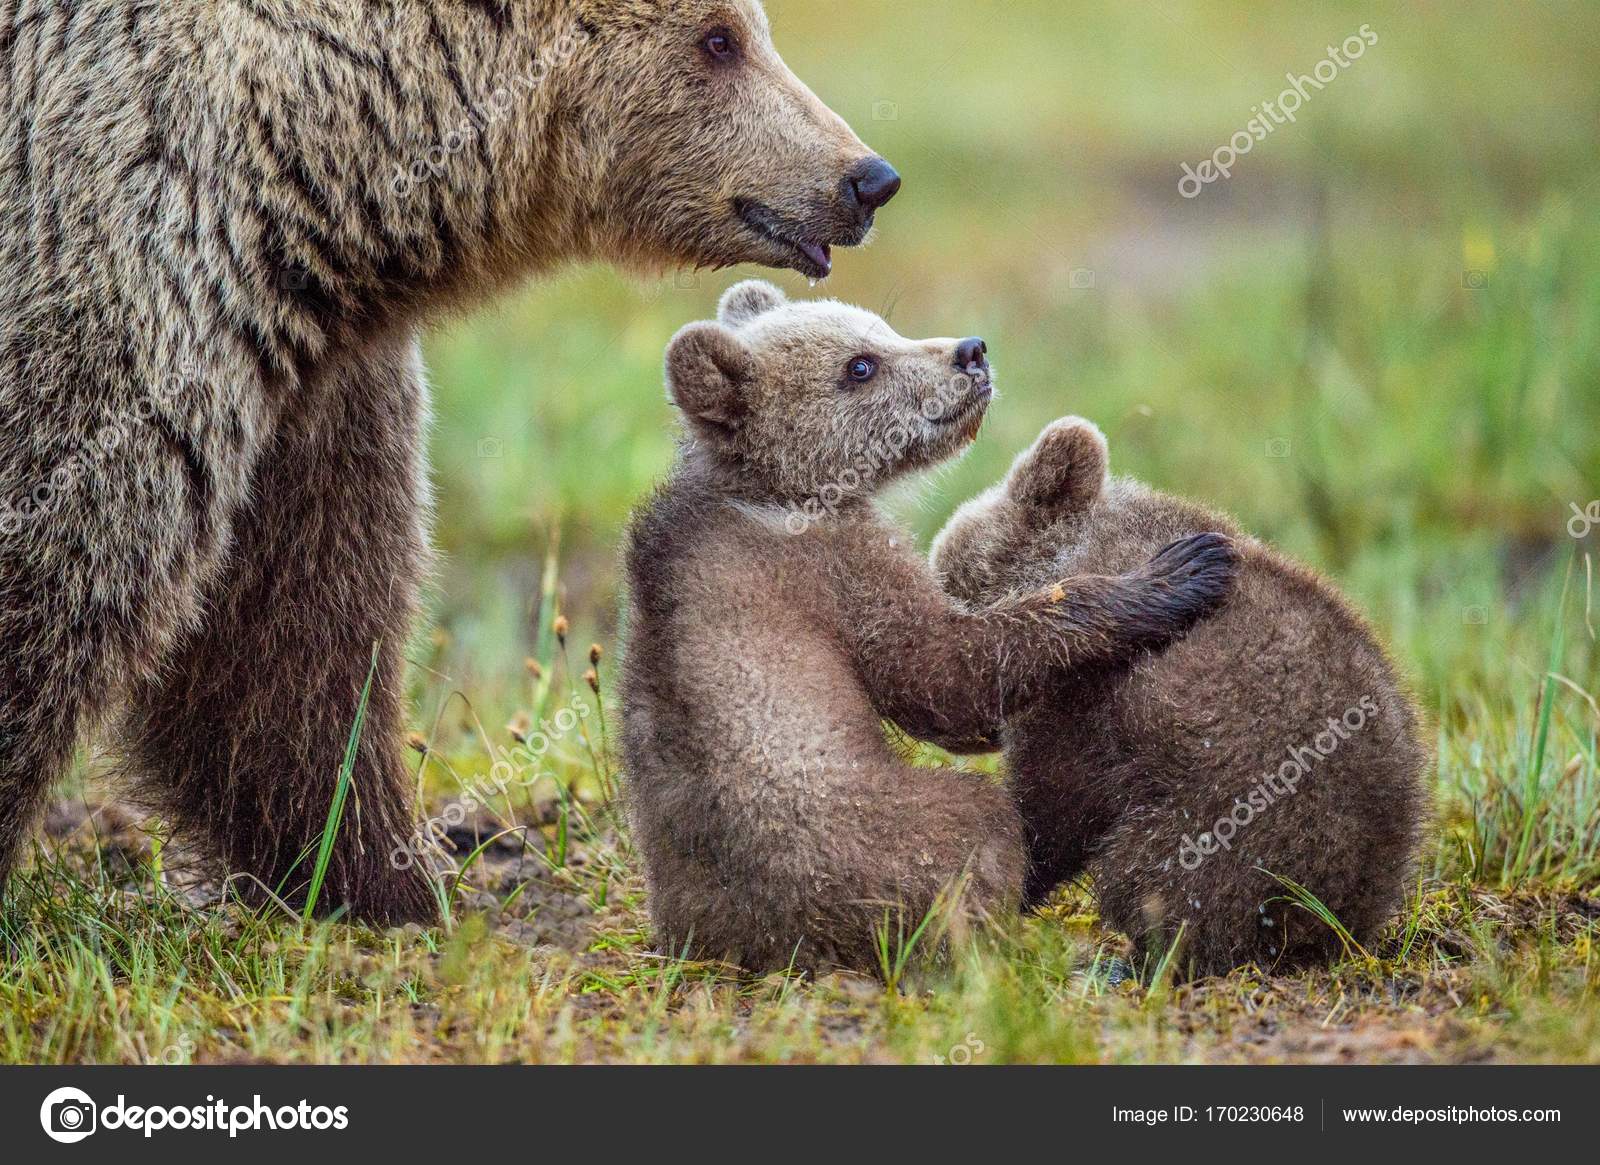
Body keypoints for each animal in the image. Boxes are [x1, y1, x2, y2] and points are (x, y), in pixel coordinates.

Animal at [0, 1, 902, 923]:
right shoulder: (122, 280)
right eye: (719, 40)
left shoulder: (312, 389)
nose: (867, 178)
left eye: (749, 30)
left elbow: (301, 618)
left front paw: (381, 872)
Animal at [620, 282, 1239, 973]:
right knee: (980, 825)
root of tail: (765, 950)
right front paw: (1177, 573)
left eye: (883, 325)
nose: (971, 351)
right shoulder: (837, 568)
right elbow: (940, 673)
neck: (772, 487)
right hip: (873, 847)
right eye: (860, 365)